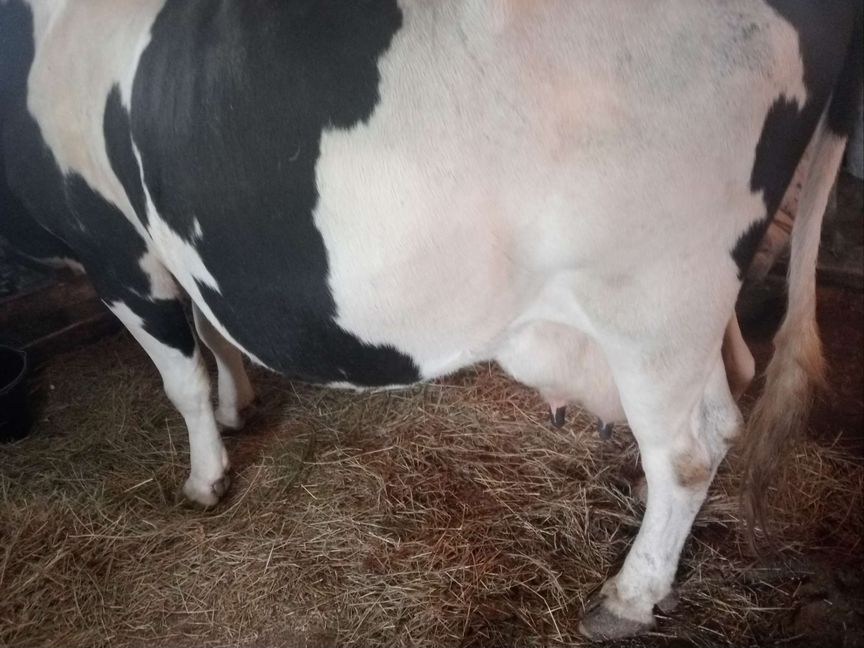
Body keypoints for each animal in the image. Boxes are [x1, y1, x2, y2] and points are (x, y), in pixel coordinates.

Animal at [1, 0, 860, 639]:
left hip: (654, 298)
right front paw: (238, 407)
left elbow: (182, 377)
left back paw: (629, 595)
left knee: (685, 452)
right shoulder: (182, 244)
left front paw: (205, 477)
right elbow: (216, 336)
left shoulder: (117, 247)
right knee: (723, 402)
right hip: (688, 307)